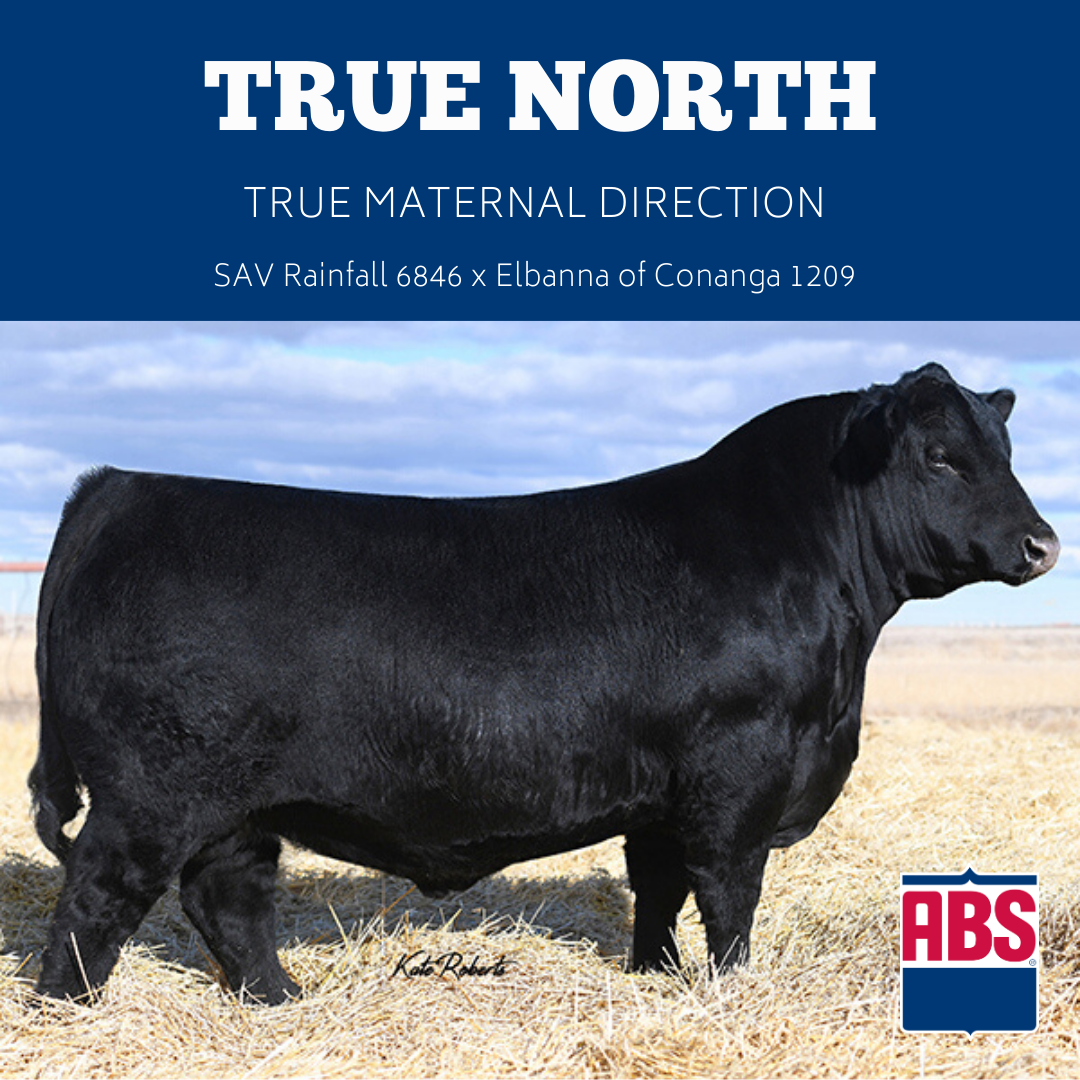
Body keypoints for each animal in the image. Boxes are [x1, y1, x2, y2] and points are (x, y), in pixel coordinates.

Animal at [29, 362, 1058, 1004]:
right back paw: (66, 1013)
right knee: (98, 894)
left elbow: (657, 890)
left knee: (227, 898)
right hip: (153, 791)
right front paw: (728, 989)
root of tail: (115, 486)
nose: (1043, 544)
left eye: (1004, 453)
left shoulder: (664, 793)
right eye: (940, 456)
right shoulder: (739, 777)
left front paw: (655, 979)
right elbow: (729, 896)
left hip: (235, 802)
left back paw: (283, 1003)